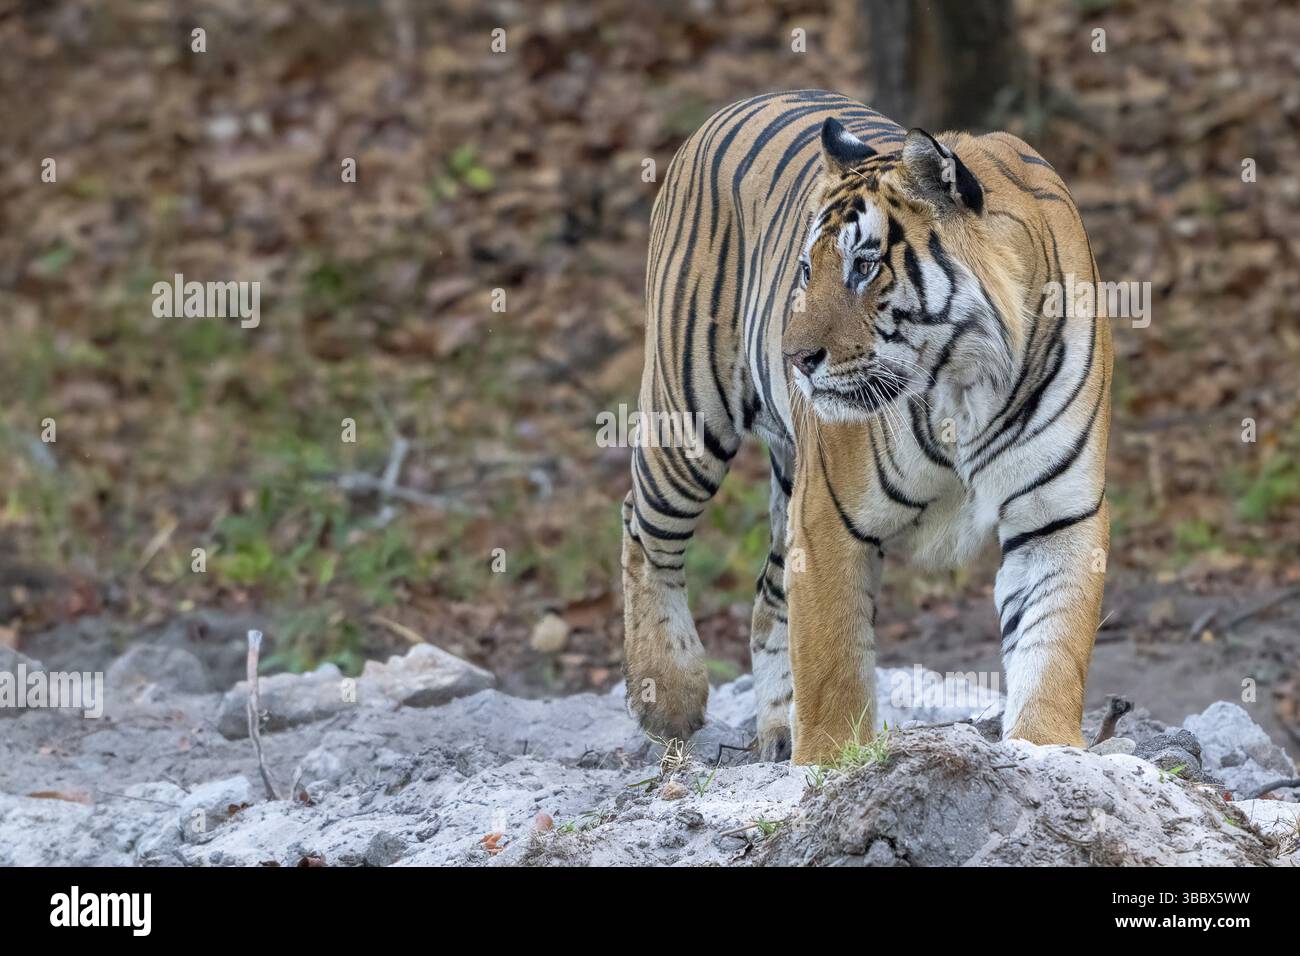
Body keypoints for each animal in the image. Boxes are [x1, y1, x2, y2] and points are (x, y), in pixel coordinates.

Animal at [621, 90, 1111, 765]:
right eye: (806, 270)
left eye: (863, 266)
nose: (795, 358)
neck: (967, 381)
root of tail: (741, 101)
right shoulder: (828, 517)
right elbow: (832, 661)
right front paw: (828, 762)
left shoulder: (1058, 516)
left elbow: (1052, 646)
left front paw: (1047, 747)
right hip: (688, 418)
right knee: (645, 530)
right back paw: (666, 696)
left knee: (766, 596)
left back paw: (776, 730)